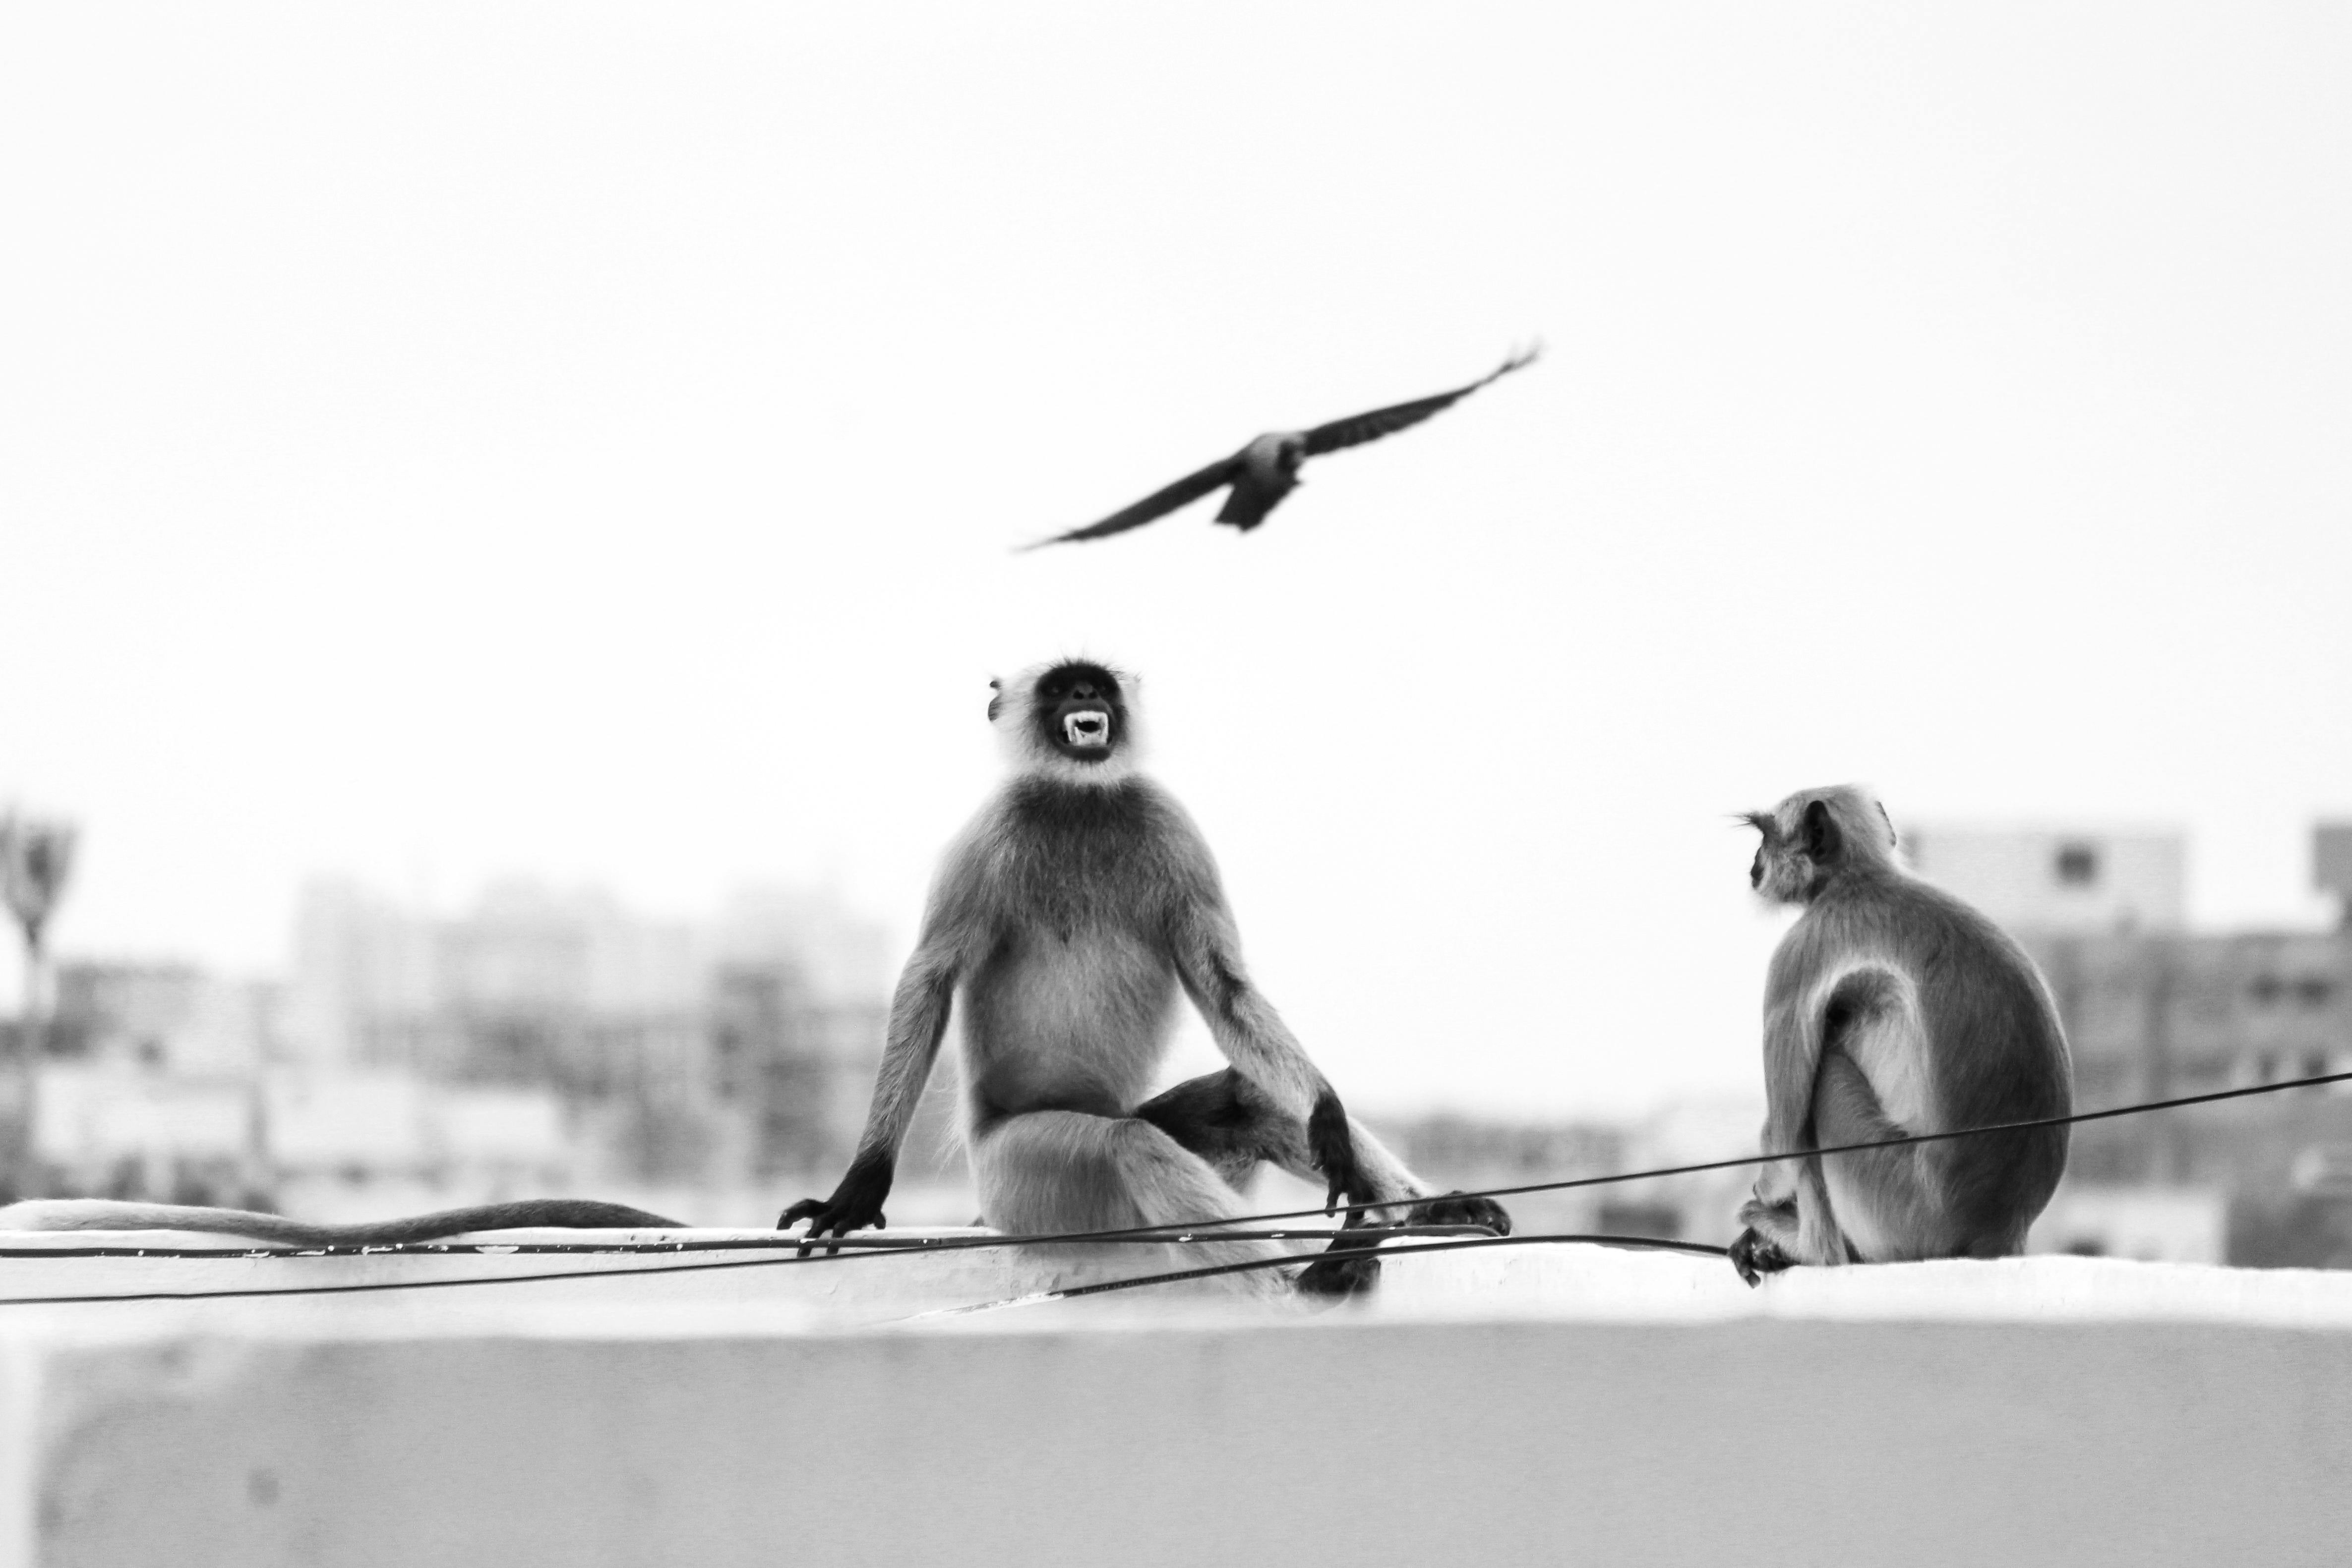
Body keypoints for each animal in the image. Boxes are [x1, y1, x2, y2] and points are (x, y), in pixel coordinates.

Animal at [780, 658, 1508, 1298]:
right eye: (1059, 687)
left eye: (1096, 684)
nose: (1083, 694)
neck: (1082, 798)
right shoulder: (985, 836)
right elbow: (927, 982)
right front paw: (860, 1184)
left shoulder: (1170, 824)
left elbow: (1225, 989)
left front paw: (1328, 1111)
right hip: (1025, 1183)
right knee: (1127, 1141)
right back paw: (1312, 1279)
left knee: (1247, 1096)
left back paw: (1423, 1211)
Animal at [1728, 785, 2073, 1285]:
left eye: (1765, 838)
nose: (1754, 862)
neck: (1859, 881)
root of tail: (2001, 1223)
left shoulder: (1799, 953)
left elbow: (1784, 1139)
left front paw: (1765, 1189)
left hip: (1897, 1204)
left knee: (1823, 1077)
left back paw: (1810, 1249)